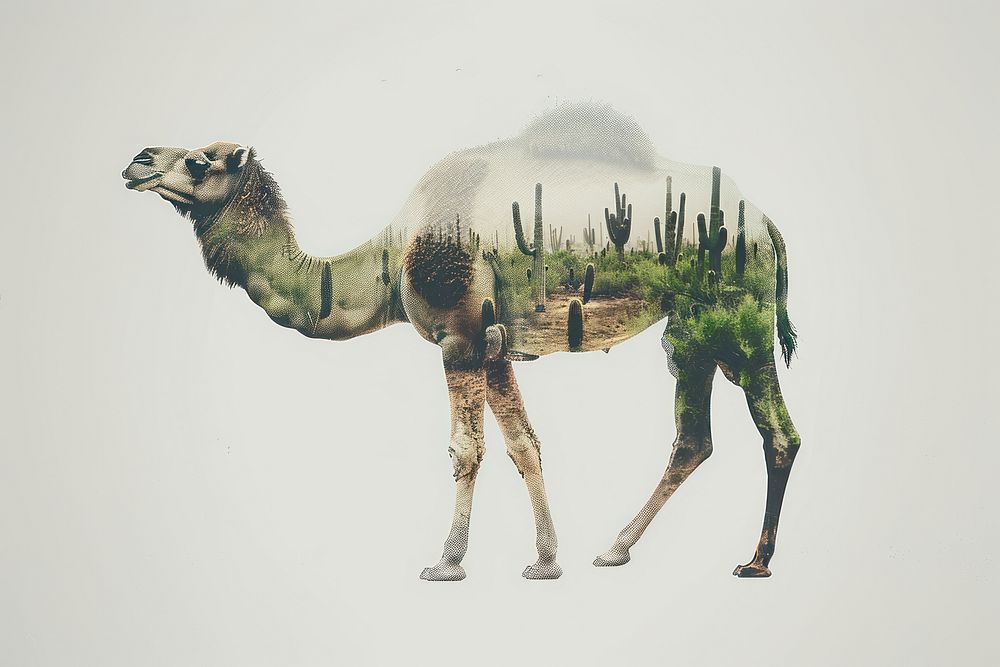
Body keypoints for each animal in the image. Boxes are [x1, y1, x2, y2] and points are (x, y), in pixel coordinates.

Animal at [121, 104, 800, 580]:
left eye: (202, 160)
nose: (137, 160)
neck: (390, 258)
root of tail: (768, 223)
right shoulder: (493, 344)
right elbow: (525, 445)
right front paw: (546, 561)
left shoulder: (459, 336)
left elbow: (466, 450)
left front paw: (446, 562)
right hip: (691, 331)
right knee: (694, 440)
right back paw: (614, 550)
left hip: (737, 319)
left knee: (778, 434)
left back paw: (756, 562)